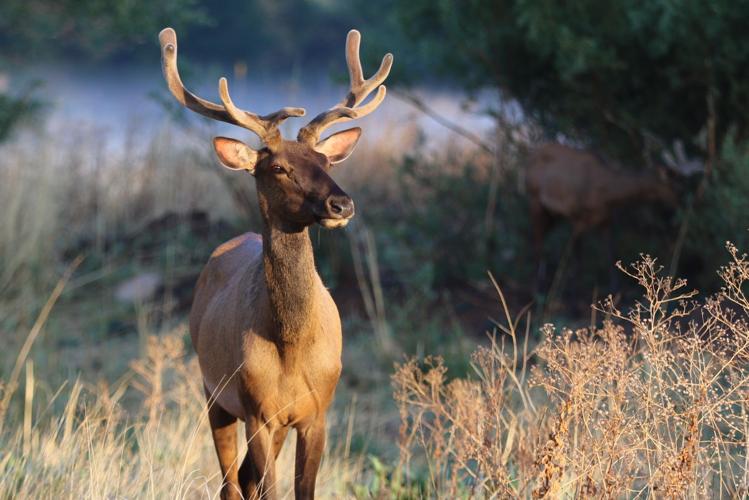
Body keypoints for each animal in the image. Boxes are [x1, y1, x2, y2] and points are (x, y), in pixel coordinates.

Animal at [158, 27, 392, 499]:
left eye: (325, 160)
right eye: (280, 167)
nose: (341, 204)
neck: (291, 347)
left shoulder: (316, 411)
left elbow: (304, 490)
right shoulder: (256, 411)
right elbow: (266, 489)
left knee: (242, 481)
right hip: (213, 392)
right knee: (231, 484)